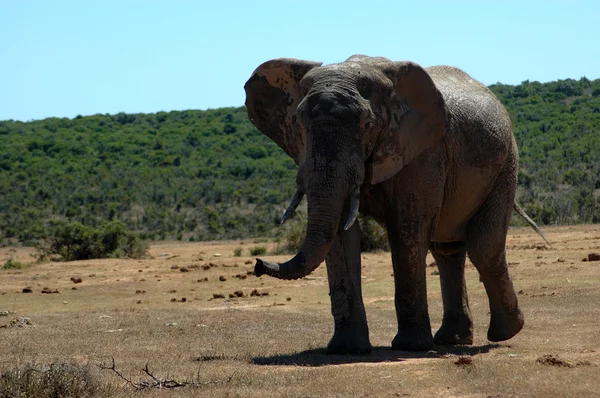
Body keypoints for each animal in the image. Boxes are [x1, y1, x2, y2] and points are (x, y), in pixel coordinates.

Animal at [244, 55, 548, 354]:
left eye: (367, 125)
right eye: (299, 123)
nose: (258, 264)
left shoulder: (423, 152)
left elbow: (406, 231)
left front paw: (410, 347)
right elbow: (342, 236)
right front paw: (346, 350)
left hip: (505, 164)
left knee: (483, 247)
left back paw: (504, 333)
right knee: (447, 250)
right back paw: (453, 340)